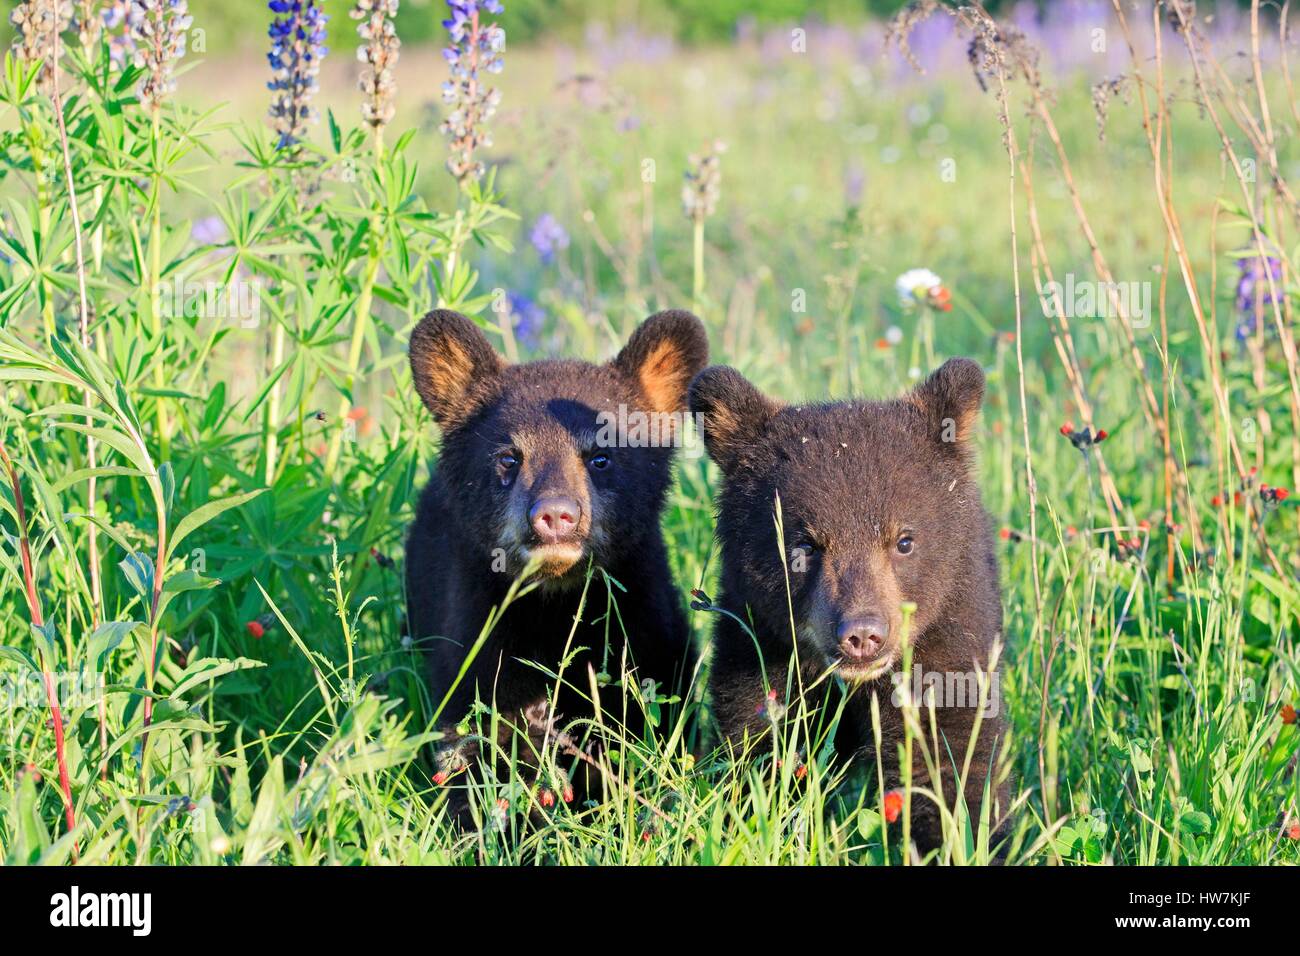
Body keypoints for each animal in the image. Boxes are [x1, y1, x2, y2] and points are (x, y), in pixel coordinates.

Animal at [405, 308, 707, 813]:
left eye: (601, 457)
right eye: (509, 458)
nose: (555, 515)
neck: (555, 607)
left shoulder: (644, 634)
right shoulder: (476, 645)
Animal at [689, 358, 1010, 856]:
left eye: (904, 541)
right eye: (804, 545)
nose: (862, 634)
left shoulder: (950, 640)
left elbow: (948, 760)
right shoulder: (760, 645)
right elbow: (761, 749)